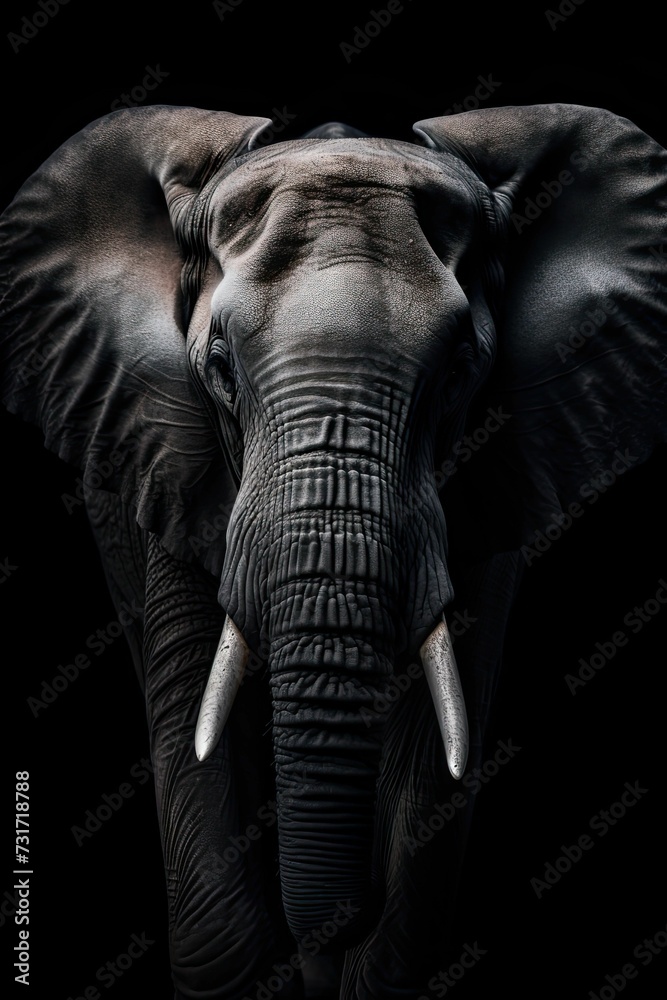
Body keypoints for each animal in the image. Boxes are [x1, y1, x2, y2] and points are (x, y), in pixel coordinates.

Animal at [1, 103, 666, 998]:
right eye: (218, 369)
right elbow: (193, 722)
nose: (327, 929)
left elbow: (430, 766)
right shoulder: (168, 449)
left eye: (459, 371)